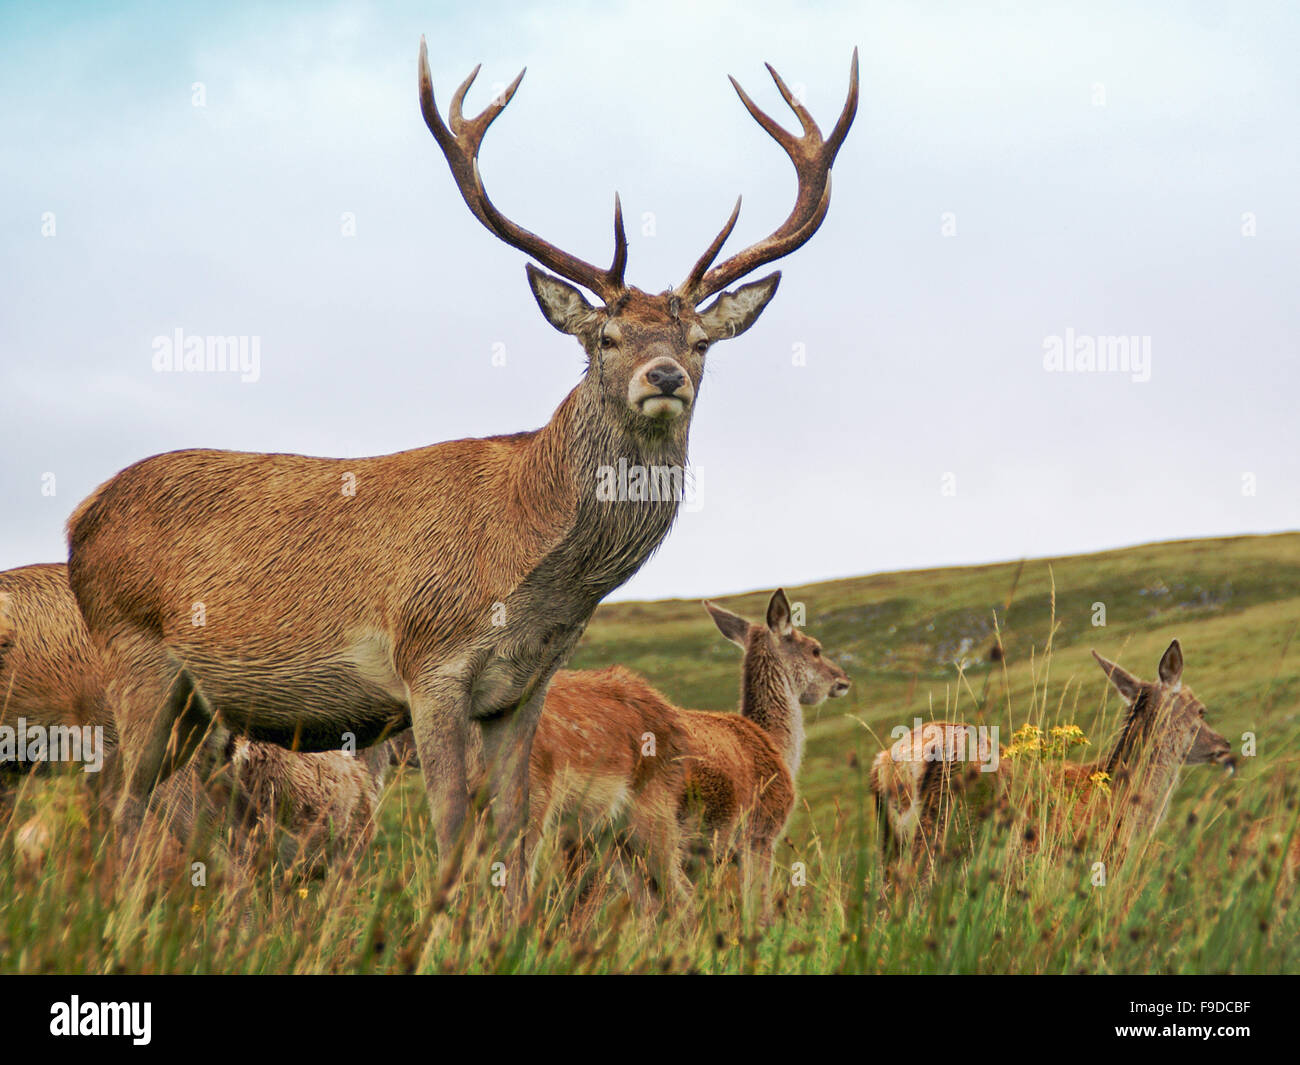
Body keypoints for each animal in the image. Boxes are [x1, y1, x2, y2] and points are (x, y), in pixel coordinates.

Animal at [64, 37, 859, 901]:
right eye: (605, 337)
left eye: (701, 342)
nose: (666, 376)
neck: (527, 564)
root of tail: (79, 516)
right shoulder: (428, 664)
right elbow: (453, 826)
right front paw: (439, 918)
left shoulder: (521, 691)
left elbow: (511, 832)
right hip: (135, 653)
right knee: (118, 809)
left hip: (197, 712)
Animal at [871, 640, 1236, 884]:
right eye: (1201, 710)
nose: (1225, 745)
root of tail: (892, 763)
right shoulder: (1103, 860)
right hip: (944, 836)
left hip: (890, 843)